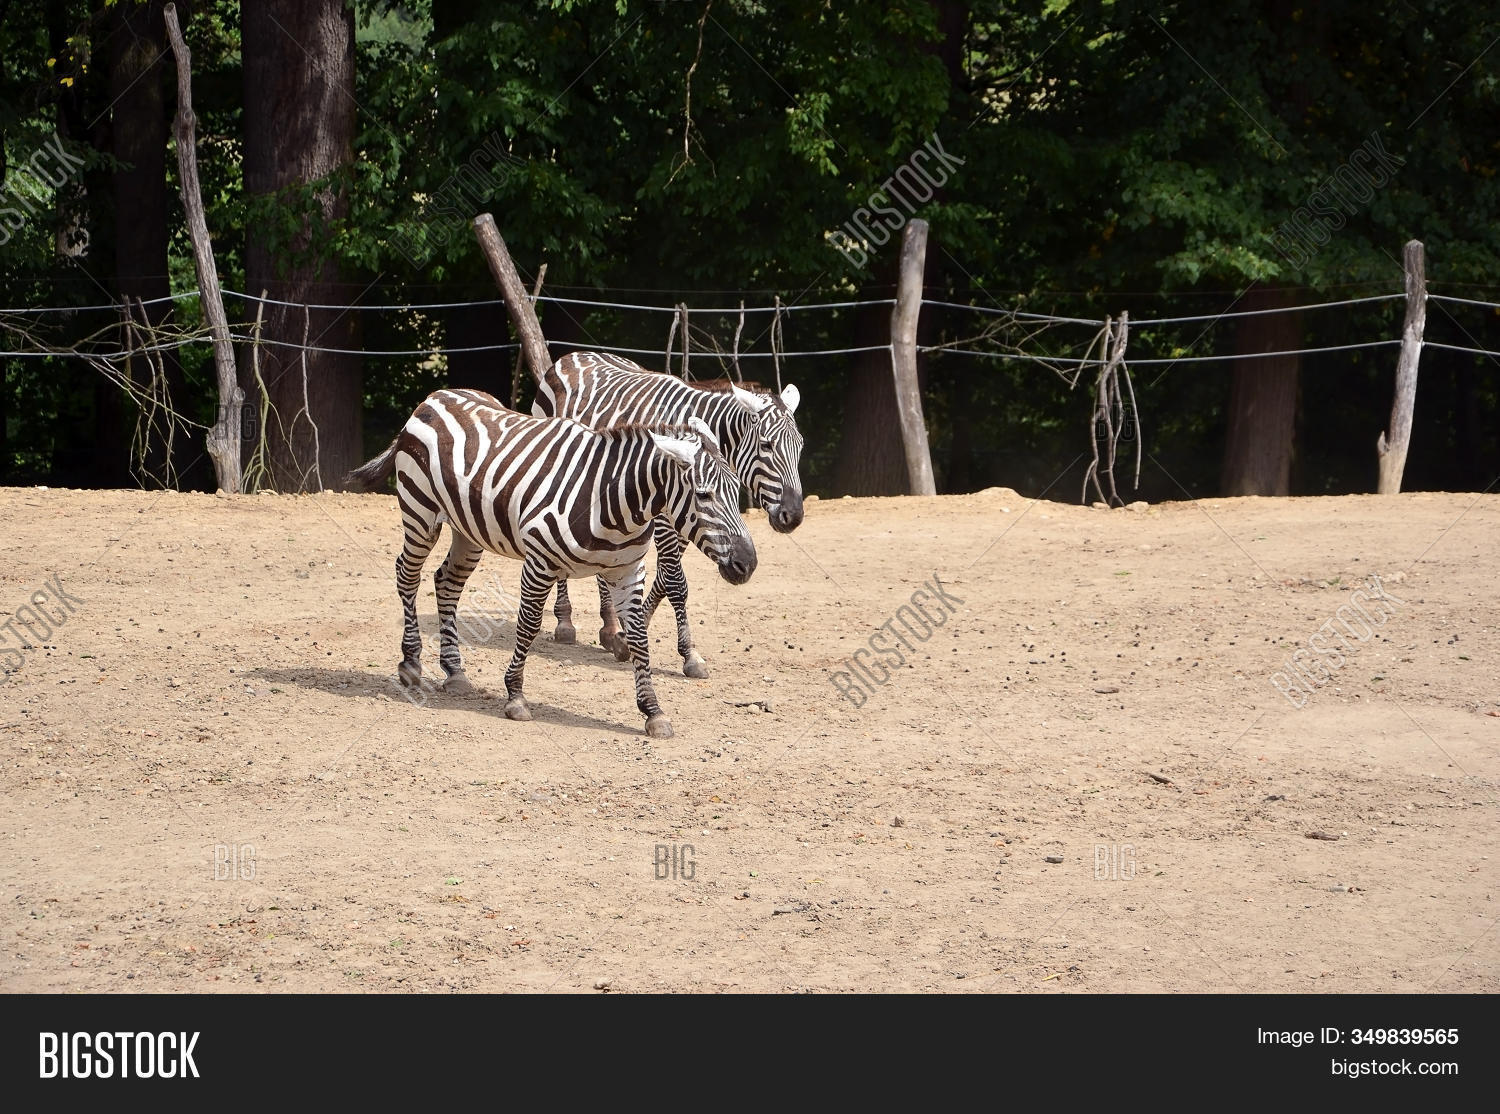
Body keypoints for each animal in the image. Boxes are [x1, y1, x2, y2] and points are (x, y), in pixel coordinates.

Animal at [344, 388, 756, 738]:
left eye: (738, 490)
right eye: (704, 495)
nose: (748, 564)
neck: (611, 502)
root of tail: (434, 397)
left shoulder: (629, 571)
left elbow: (639, 636)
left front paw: (653, 711)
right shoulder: (539, 562)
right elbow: (528, 625)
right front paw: (515, 696)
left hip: (468, 531)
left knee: (447, 583)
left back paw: (455, 671)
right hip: (420, 513)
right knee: (407, 575)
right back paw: (411, 663)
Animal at [532, 351, 804, 679]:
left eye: (800, 446)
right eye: (766, 445)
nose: (794, 516)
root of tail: (575, 354)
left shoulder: (688, 517)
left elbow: (664, 578)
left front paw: (626, 636)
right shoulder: (664, 518)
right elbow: (676, 582)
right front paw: (689, 655)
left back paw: (609, 628)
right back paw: (565, 622)